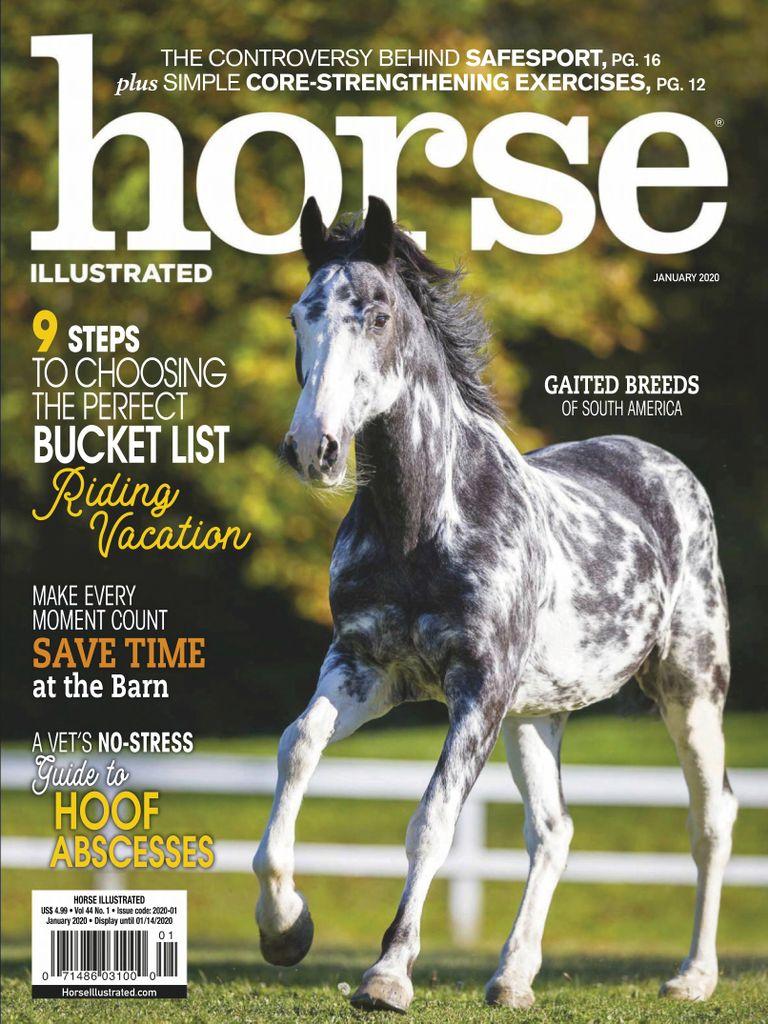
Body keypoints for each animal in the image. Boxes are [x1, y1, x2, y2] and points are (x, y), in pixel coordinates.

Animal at [253, 196, 736, 1012]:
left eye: (377, 314)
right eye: (298, 315)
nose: (313, 448)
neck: (424, 523)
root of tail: (662, 464)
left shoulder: (477, 687)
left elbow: (433, 818)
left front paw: (387, 974)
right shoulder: (365, 669)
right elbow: (297, 746)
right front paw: (286, 927)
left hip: (689, 689)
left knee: (710, 816)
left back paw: (692, 976)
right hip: (536, 713)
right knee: (553, 829)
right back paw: (512, 977)